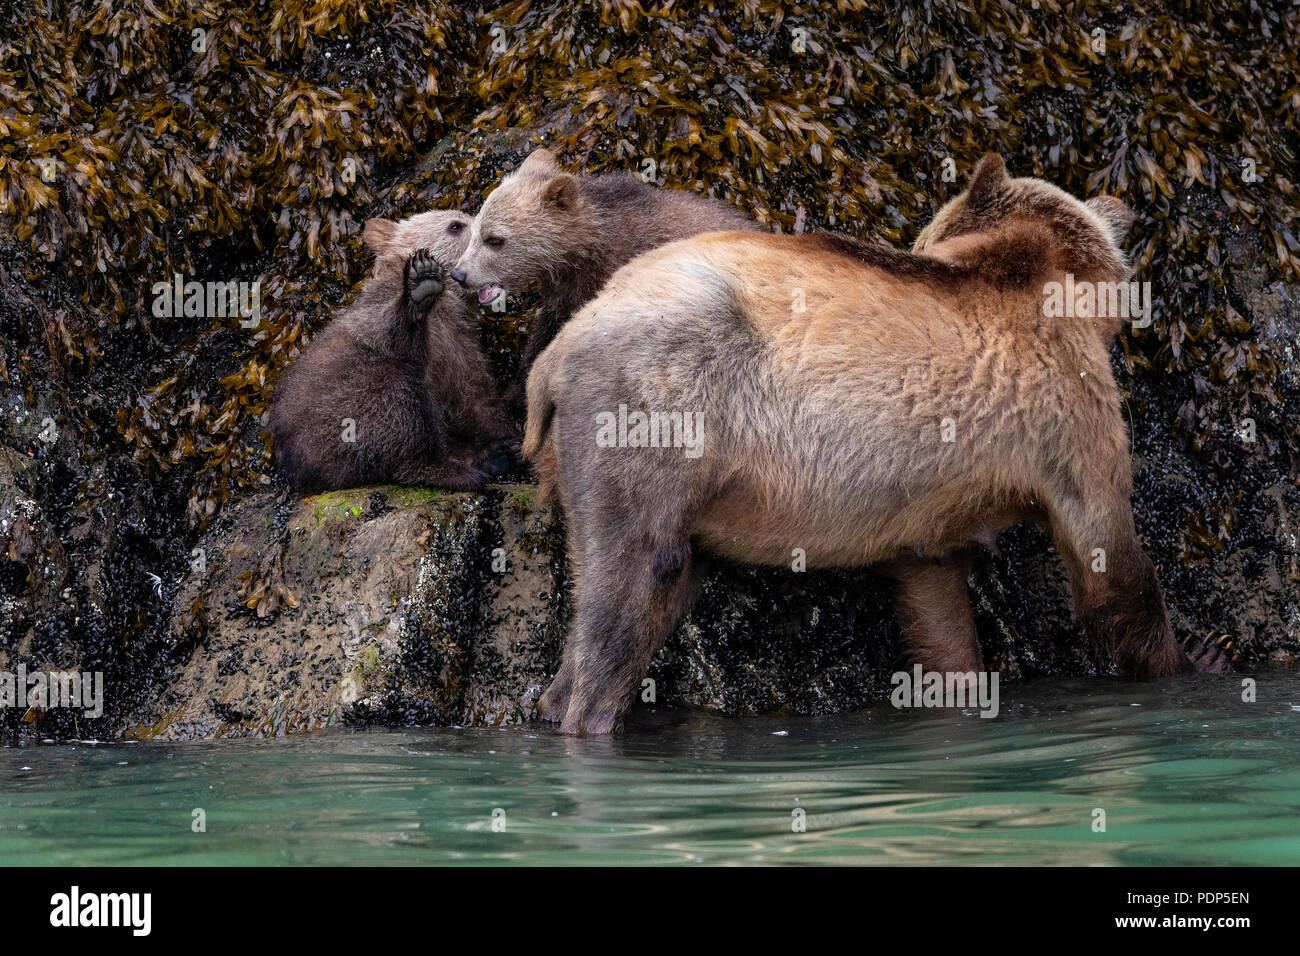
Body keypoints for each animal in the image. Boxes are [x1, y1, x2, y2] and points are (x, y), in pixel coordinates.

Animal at [270, 209, 516, 493]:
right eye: (455, 225)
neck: (450, 304)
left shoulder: (458, 341)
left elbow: (473, 393)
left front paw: (508, 433)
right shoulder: (382, 320)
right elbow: (393, 332)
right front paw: (421, 284)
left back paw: (489, 458)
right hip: (334, 415)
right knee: (397, 403)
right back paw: (457, 471)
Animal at [523, 153, 1233, 735]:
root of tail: (557, 352)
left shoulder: (933, 507)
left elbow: (935, 597)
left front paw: (957, 689)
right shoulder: (1067, 409)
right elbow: (1107, 557)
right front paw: (1197, 655)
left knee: (646, 595)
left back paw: (556, 704)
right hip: (657, 413)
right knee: (633, 580)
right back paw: (590, 715)